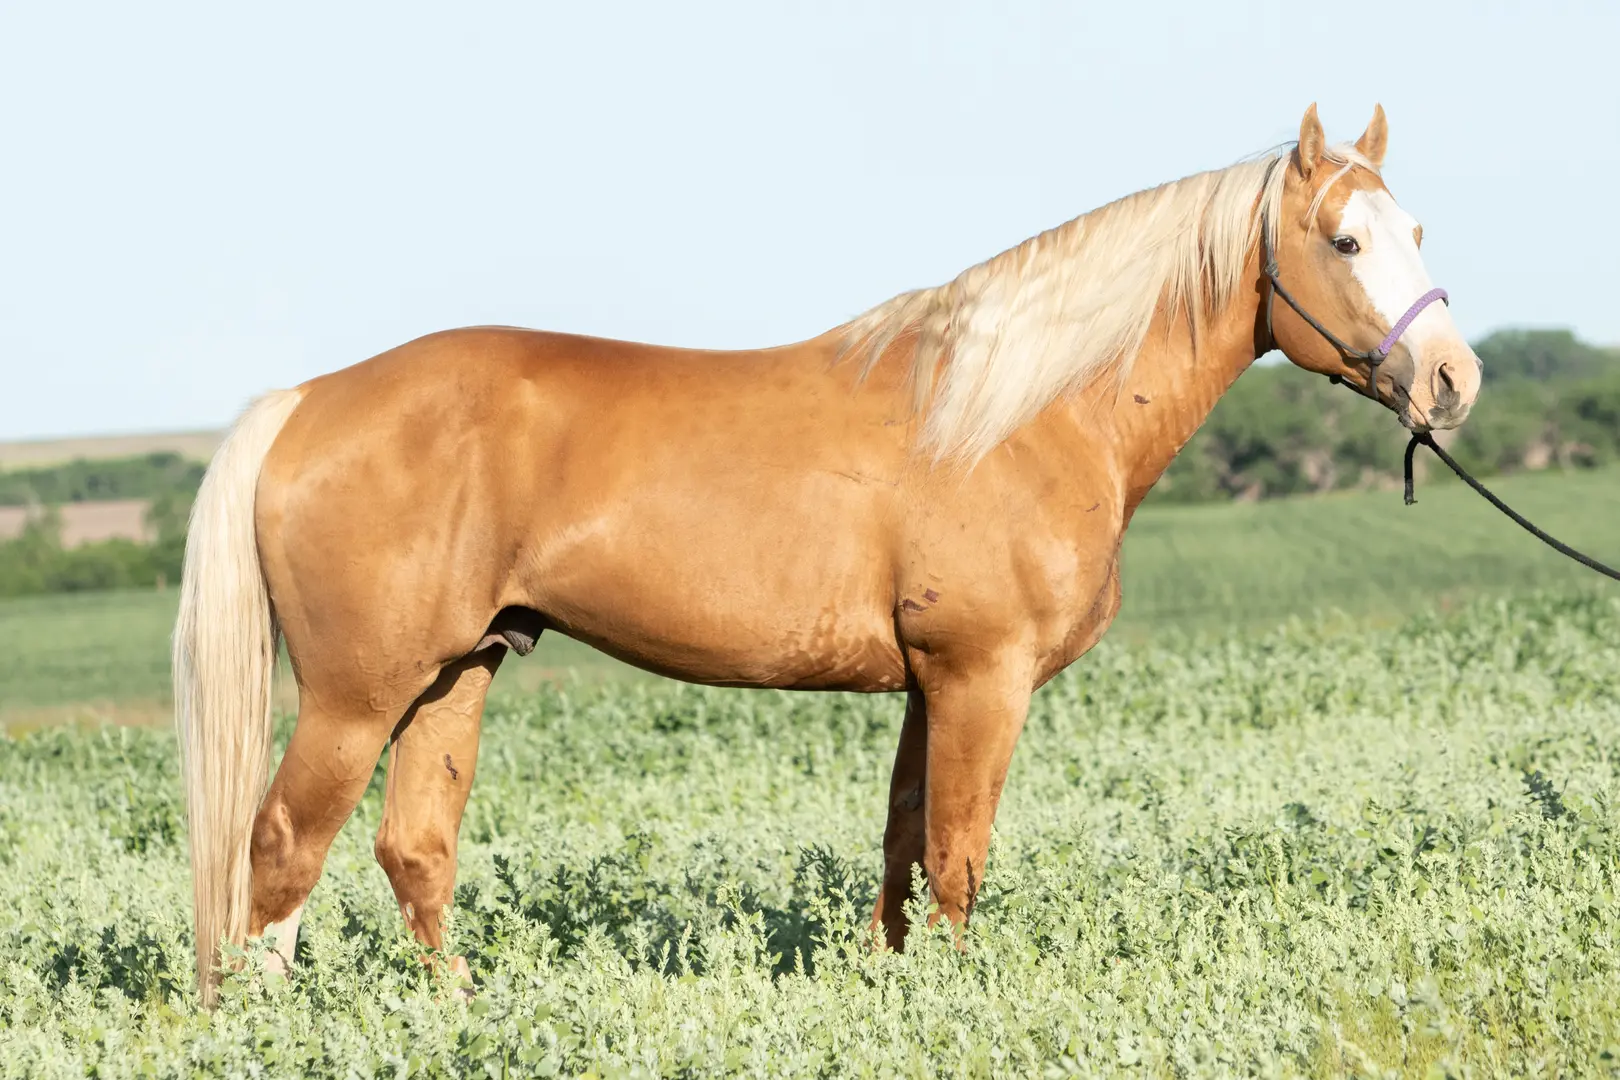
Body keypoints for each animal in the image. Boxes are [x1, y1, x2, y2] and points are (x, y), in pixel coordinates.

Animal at [174, 104, 1482, 1003]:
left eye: (1418, 229)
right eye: (1346, 240)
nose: (1453, 382)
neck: (1013, 411)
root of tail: (305, 401)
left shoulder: (929, 686)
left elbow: (903, 852)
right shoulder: (983, 678)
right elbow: (958, 858)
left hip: (456, 673)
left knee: (410, 853)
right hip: (356, 696)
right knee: (280, 853)